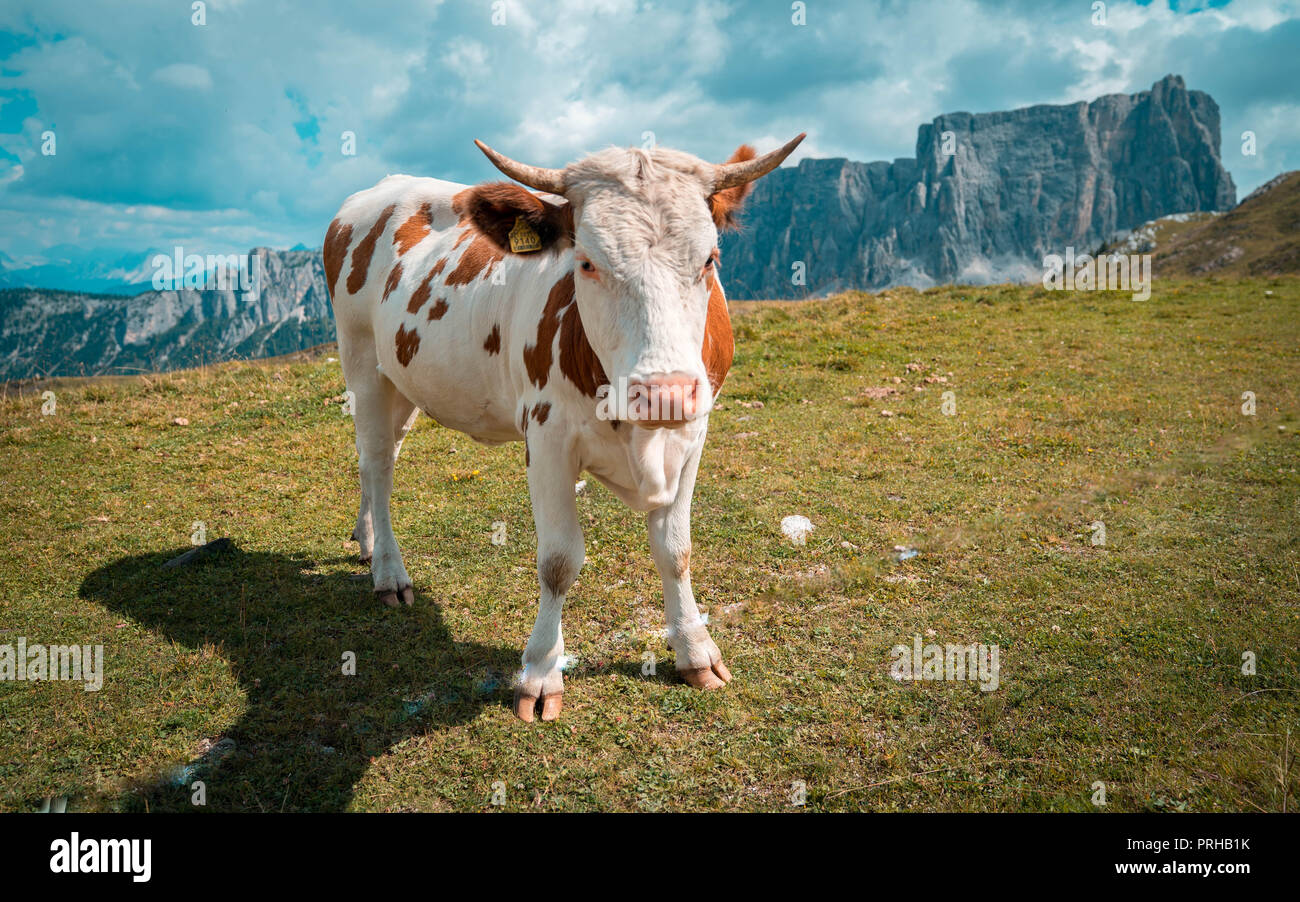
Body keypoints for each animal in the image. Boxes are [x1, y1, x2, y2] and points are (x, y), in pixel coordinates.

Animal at [323, 133, 805, 721]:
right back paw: (389, 572)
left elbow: (676, 548)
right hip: (362, 363)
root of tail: (381, 189)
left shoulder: (694, 435)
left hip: (403, 381)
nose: (664, 394)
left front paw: (695, 651)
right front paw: (539, 673)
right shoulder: (548, 439)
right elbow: (558, 561)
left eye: (710, 259)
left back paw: (367, 542)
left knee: (381, 455)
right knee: (377, 463)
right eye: (587, 263)